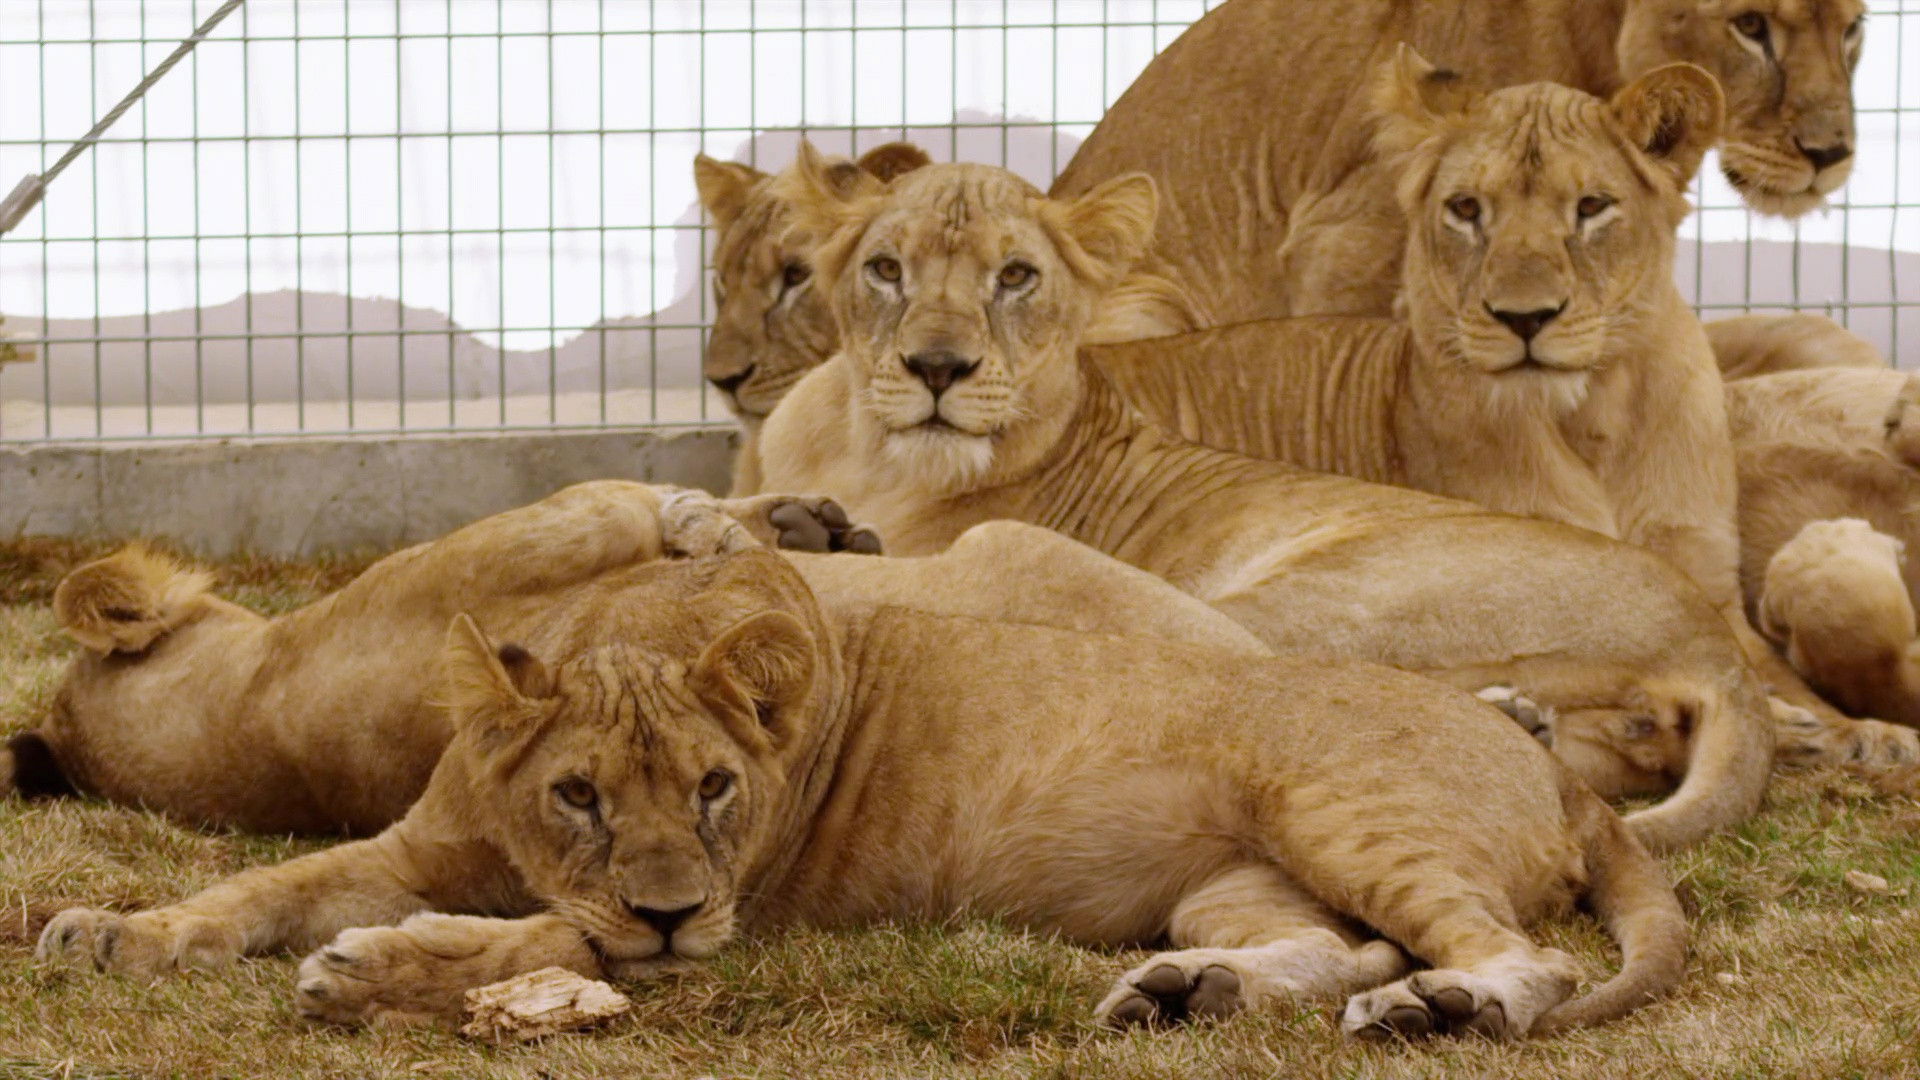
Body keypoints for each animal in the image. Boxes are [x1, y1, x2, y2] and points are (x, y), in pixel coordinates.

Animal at [6, 481, 1274, 834]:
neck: (248, 721)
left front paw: (807, 523)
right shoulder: (530, 534)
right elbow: (633, 506)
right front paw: (735, 526)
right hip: (1025, 545)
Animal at [37, 546, 1685, 1043]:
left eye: (716, 787)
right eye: (577, 793)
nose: (666, 909)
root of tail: (1566, 776)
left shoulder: (747, 924)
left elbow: (549, 941)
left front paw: (377, 969)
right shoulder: (410, 839)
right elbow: (260, 886)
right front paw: (112, 933)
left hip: (1340, 811)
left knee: (1510, 957)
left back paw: (1440, 1011)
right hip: (1245, 875)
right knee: (1339, 945)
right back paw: (1187, 993)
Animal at [746, 146, 1803, 854]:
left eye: (1016, 277)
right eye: (886, 269)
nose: (936, 368)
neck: (868, 448)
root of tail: (1710, 636)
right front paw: (800, 519)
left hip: (1308, 601)